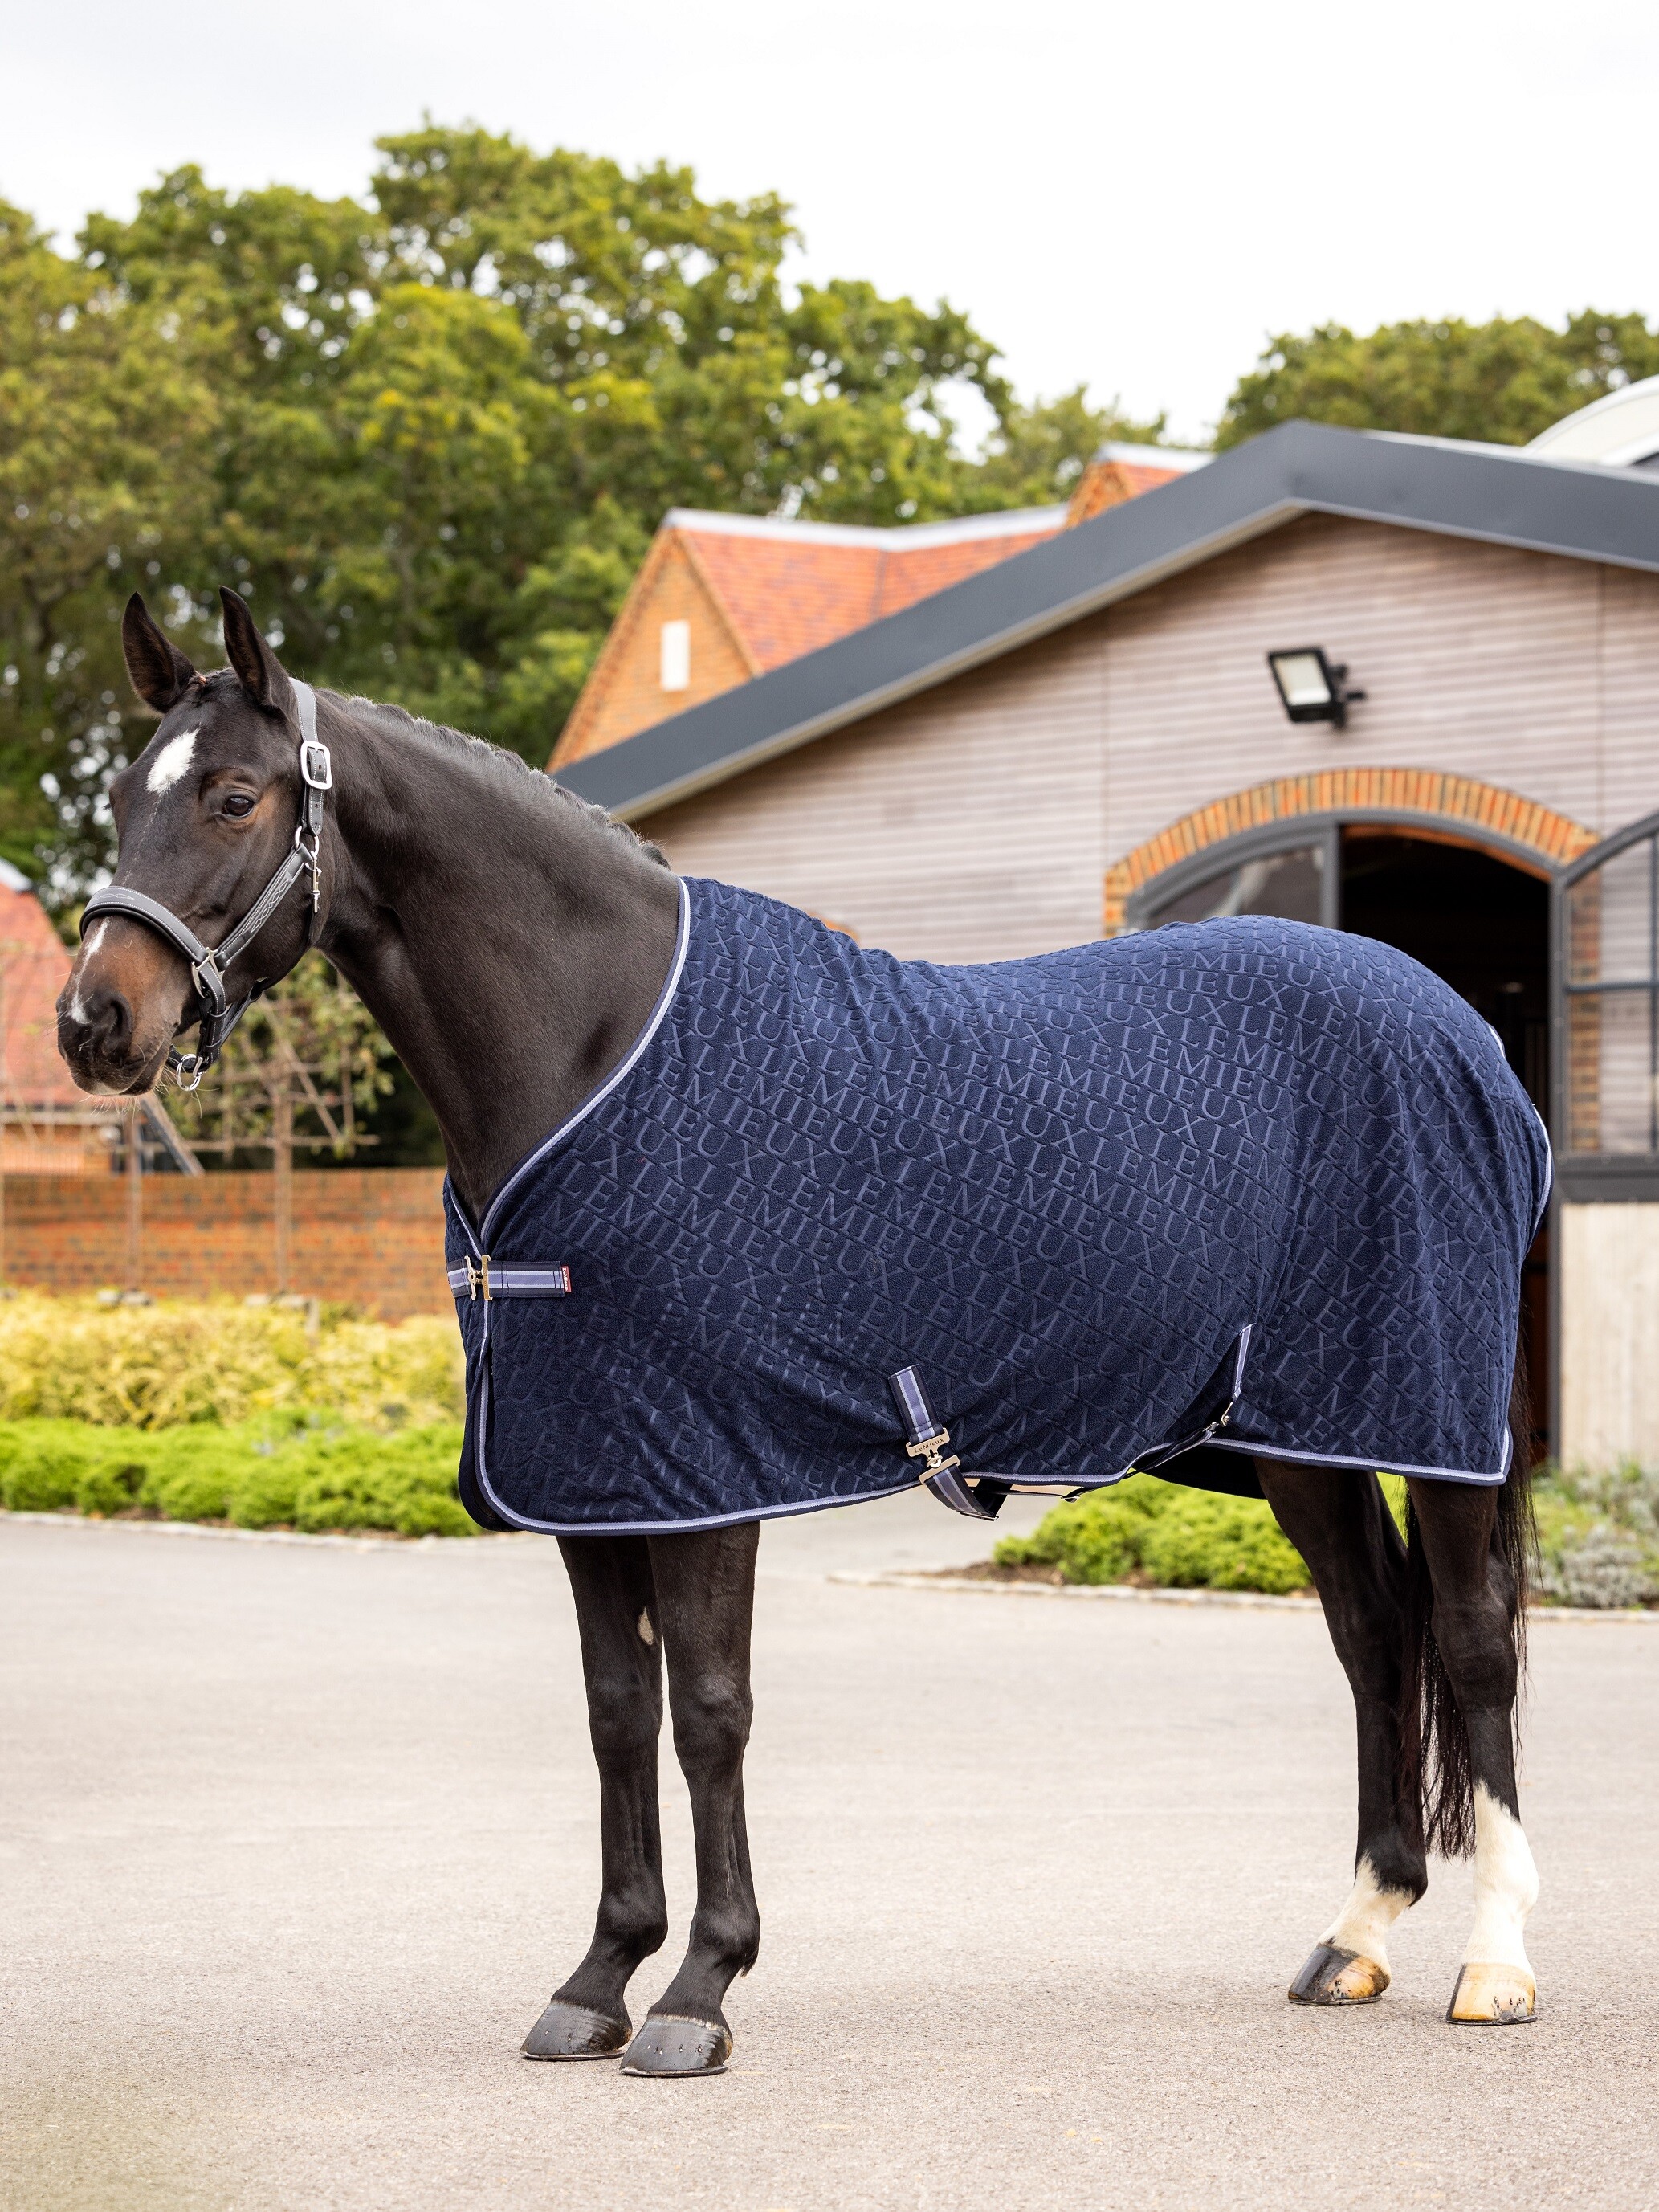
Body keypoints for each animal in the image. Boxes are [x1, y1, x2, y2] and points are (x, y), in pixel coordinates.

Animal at [56, 588, 1544, 2077]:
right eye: (122, 798)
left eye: (236, 796)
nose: (92, 1021)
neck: (600, 1044)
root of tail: (1462, 1033)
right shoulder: (595, 1469)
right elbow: (617, 1711)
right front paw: (600, 1974)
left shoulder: (706, 1468)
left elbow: (711, 1711)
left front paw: (700, 1988)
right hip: (1307, 1434)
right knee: (1373, 1632)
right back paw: (1357, 1931)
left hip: (1433, 1413)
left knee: (1468, 1637)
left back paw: (1494, 1963)